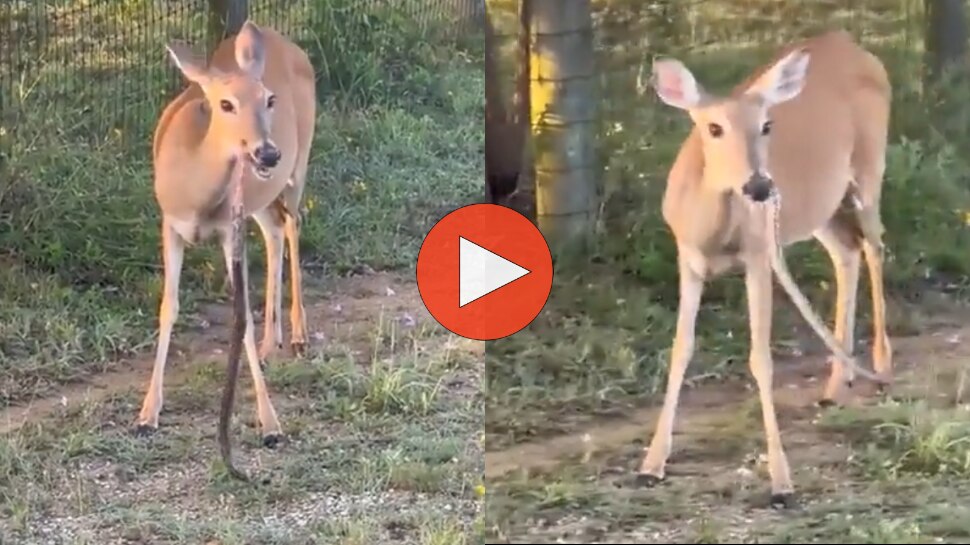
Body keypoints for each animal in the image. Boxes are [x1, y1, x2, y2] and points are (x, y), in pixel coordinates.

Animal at [134, 20, 317, 477]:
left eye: (269, 99)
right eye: (225, 104)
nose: (267, 152)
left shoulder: (227, 230)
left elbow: (241, 318)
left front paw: (271, 425)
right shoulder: (170, 224)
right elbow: (169, 307)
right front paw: (147, 414)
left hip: (299, 163)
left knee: (292, 224)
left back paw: (299, 335)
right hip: (260, 198)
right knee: (274, 230)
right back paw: (272, 345)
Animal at [637, 30, 893, 507]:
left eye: (767, 126)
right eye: (713, 127)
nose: (759, 186)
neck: (713, 233)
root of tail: (849, 42)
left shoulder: (758, 256)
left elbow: (761, 358)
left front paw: (781, 482)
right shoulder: (687, 258)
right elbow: (681, 349)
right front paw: (651, 465)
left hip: (869, 168)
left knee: (874, 245)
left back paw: (881, 367)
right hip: (819, 207)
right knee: (847, 251)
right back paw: (838, 382)